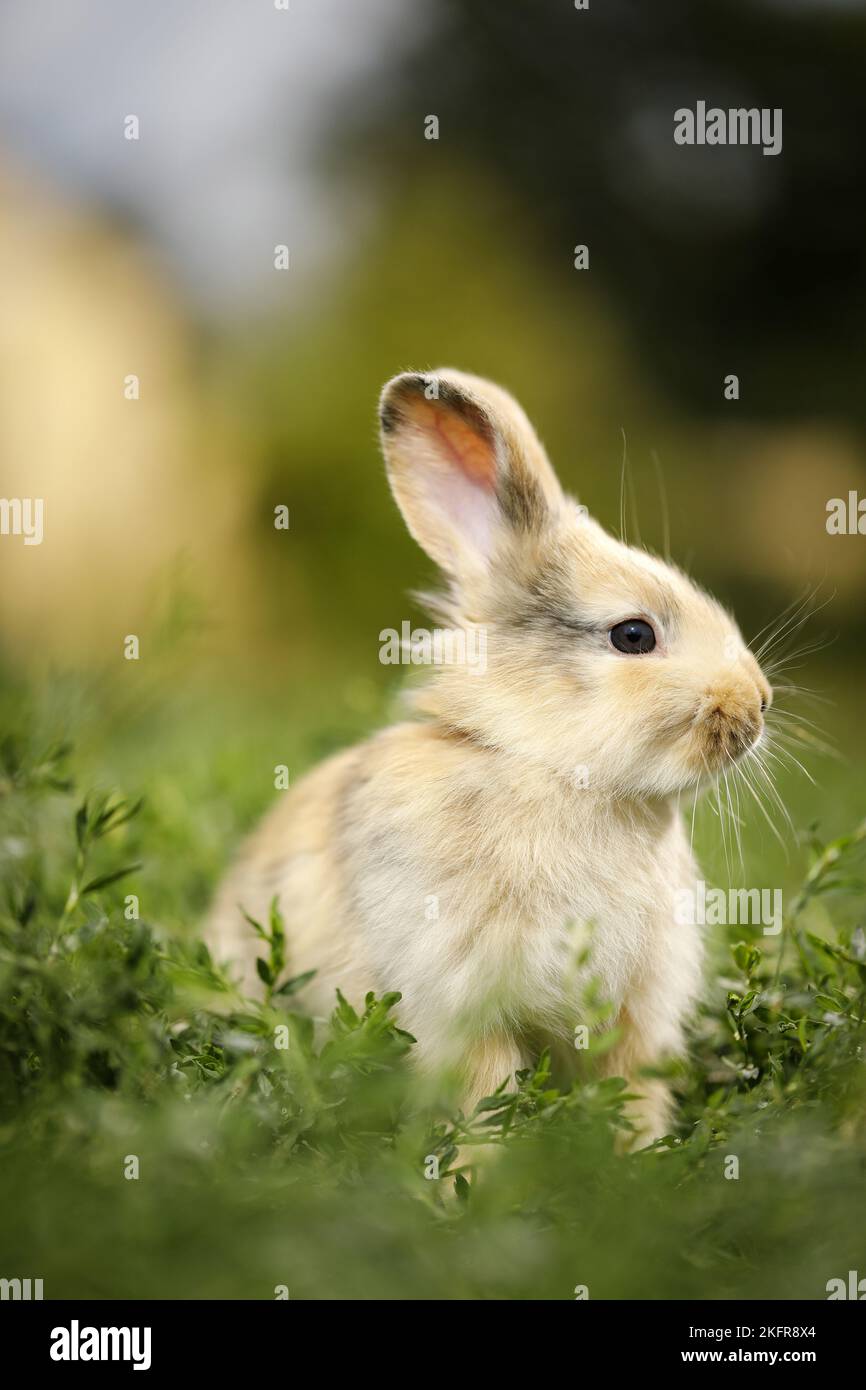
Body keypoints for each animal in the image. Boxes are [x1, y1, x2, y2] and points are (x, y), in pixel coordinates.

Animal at [205, 368, 772, 1144]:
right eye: (632, 635)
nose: (759, 702)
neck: (550, 771)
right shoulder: (463, 1007)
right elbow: (485, 1096)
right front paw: (479, 1167)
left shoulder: (633, 1015)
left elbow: (634, 1090)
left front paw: (639, 1155)